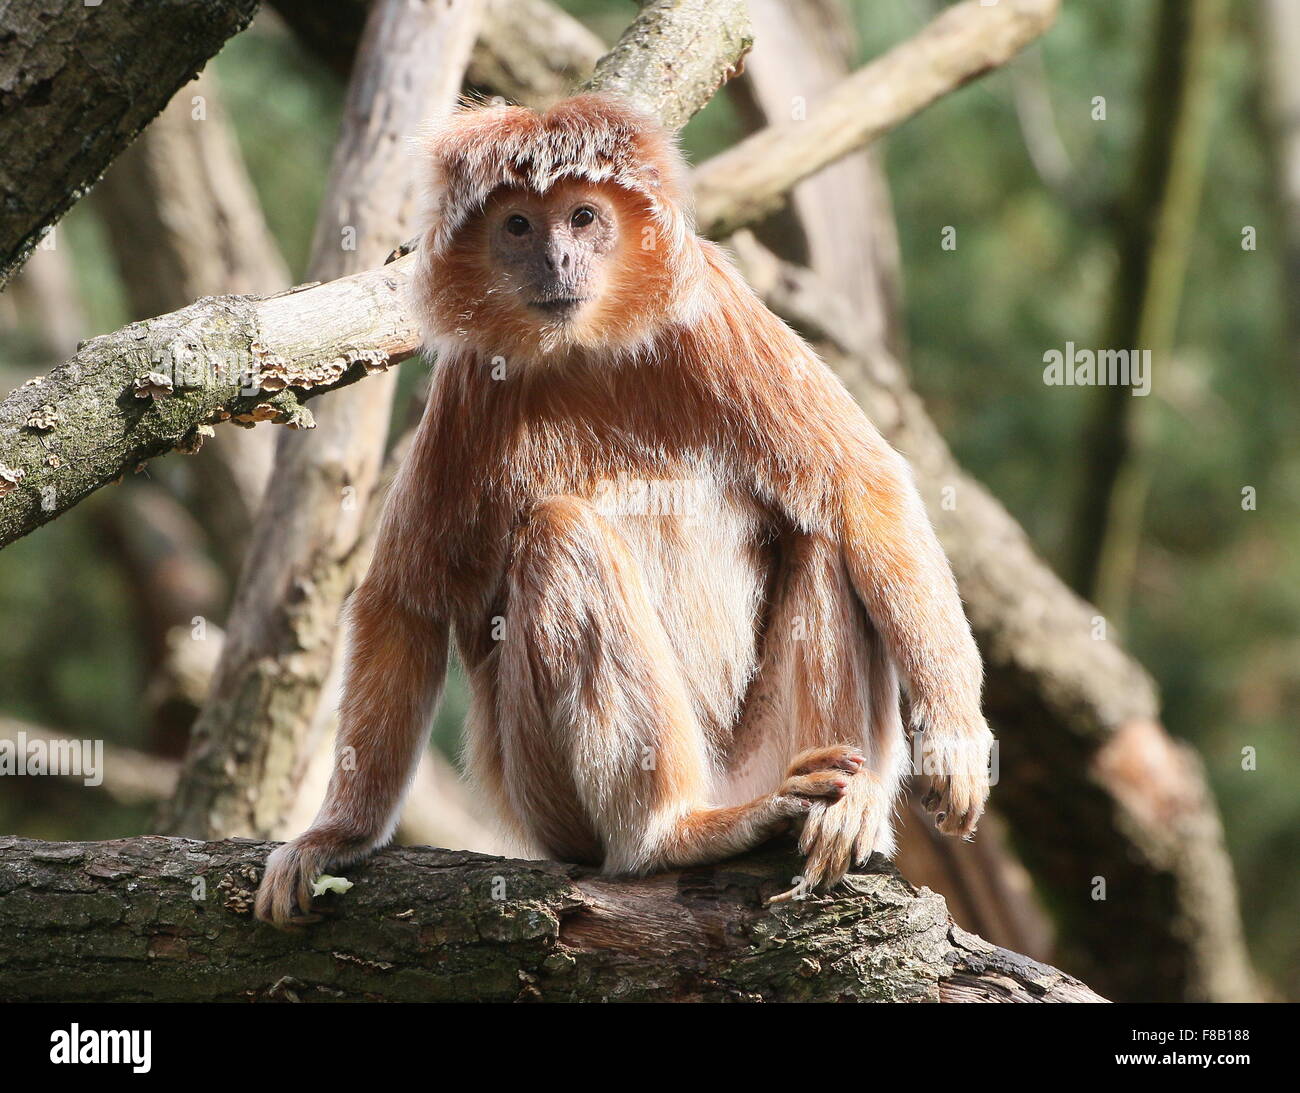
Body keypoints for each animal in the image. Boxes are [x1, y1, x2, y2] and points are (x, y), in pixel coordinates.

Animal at [255, 94, 993, 926]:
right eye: (519, 226)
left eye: (582, 217)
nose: (557, 261)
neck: (585, 351)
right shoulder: (470, 382)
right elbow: (404, 598)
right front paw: (336, 835)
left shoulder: (712, 307)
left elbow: (860, 482)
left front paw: (955, 734)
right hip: (539, 790)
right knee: (564, 531)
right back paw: (673, 831)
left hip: (763, 754)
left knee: (820, 531)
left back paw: (846, 806)